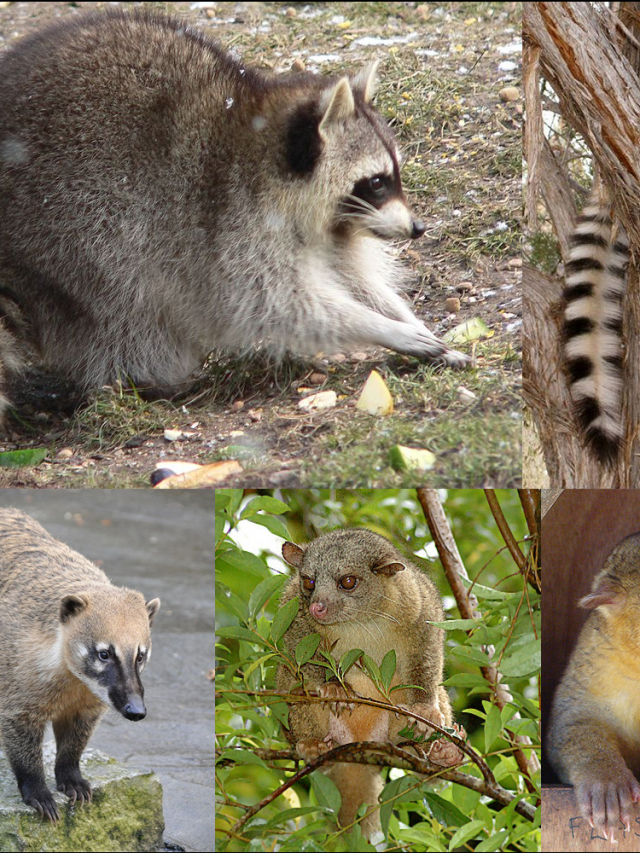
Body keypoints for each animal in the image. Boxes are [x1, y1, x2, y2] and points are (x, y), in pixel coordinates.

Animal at [0, 9, 470, 425]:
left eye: (394, 176)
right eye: (375, 182)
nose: (418, 229)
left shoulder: (334, 228)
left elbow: (355, 278)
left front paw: (401, 316)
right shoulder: (234, 227)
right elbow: (283, 305)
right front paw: (382, 328)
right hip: (70, 229)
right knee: (119, 299)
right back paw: (146, 377)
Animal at [0, 509, 160, 822]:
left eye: (140, 656)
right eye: (104, 654)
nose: (136, 711)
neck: (74, 678)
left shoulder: (89, 701)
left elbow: (76, 736)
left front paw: (71, 776)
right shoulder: (17, 675)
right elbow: (19, 729)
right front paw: (37, 789)